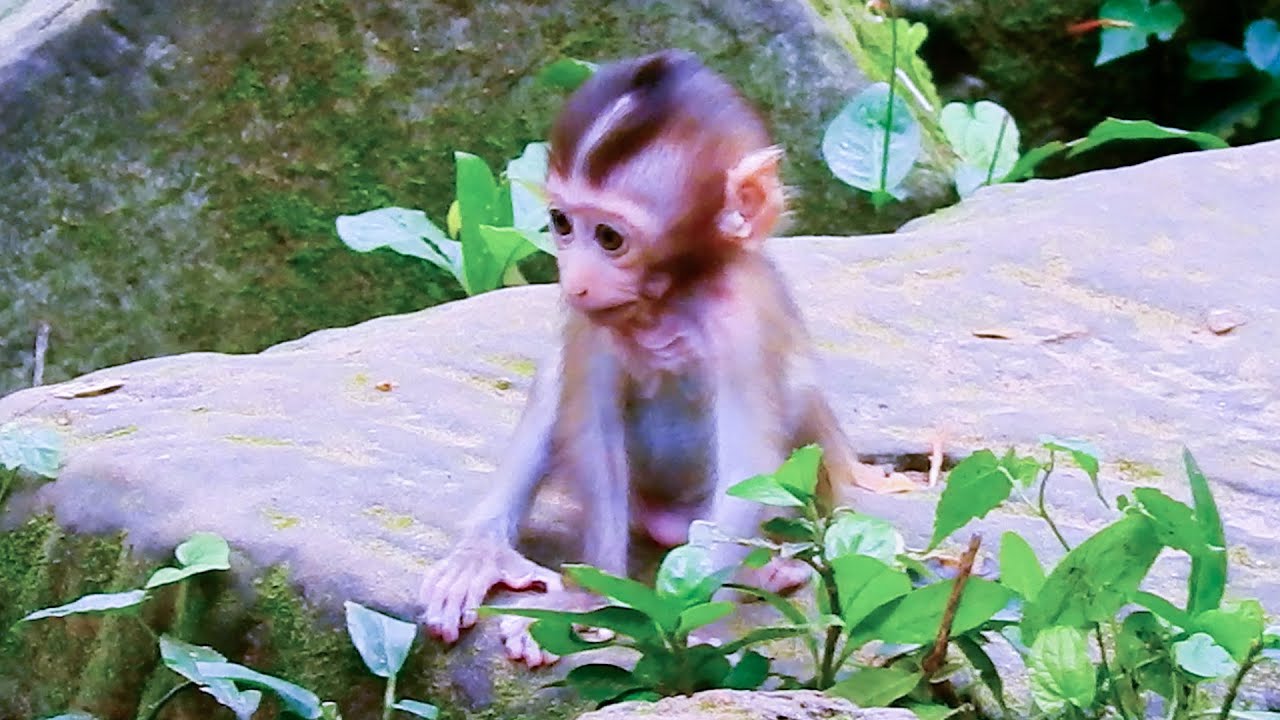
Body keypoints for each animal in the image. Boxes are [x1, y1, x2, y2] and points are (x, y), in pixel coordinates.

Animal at [419, 49, 879, 667]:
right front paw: (591, 600)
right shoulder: (591, 323)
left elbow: (749, 465)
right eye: (561, 224)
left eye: (610, 238)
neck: (669, 300)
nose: (574, 279)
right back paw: (482, 551)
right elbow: (592, 431)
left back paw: (773, 569)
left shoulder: (742, 320)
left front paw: (693, 628)